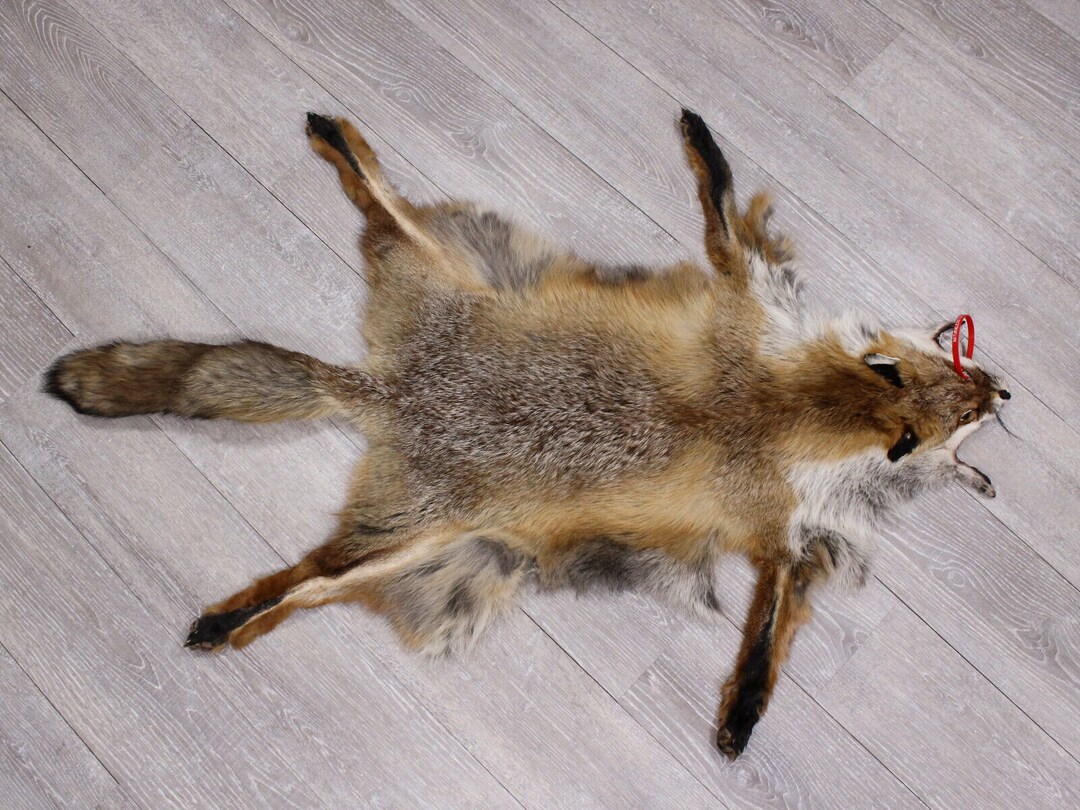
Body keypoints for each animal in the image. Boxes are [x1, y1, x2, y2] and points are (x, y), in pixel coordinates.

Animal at [43, 109, 1010, 758]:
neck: (790, 409)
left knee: (379, 210)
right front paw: (742, 716)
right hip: (417, 526)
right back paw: (228, 619)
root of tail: (387, 393)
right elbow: (722, 199)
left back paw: (336, 142)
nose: (1003, 389)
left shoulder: (777, 503)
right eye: (954, 404)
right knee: (307, 585)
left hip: (429, 429)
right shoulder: (757, 363)